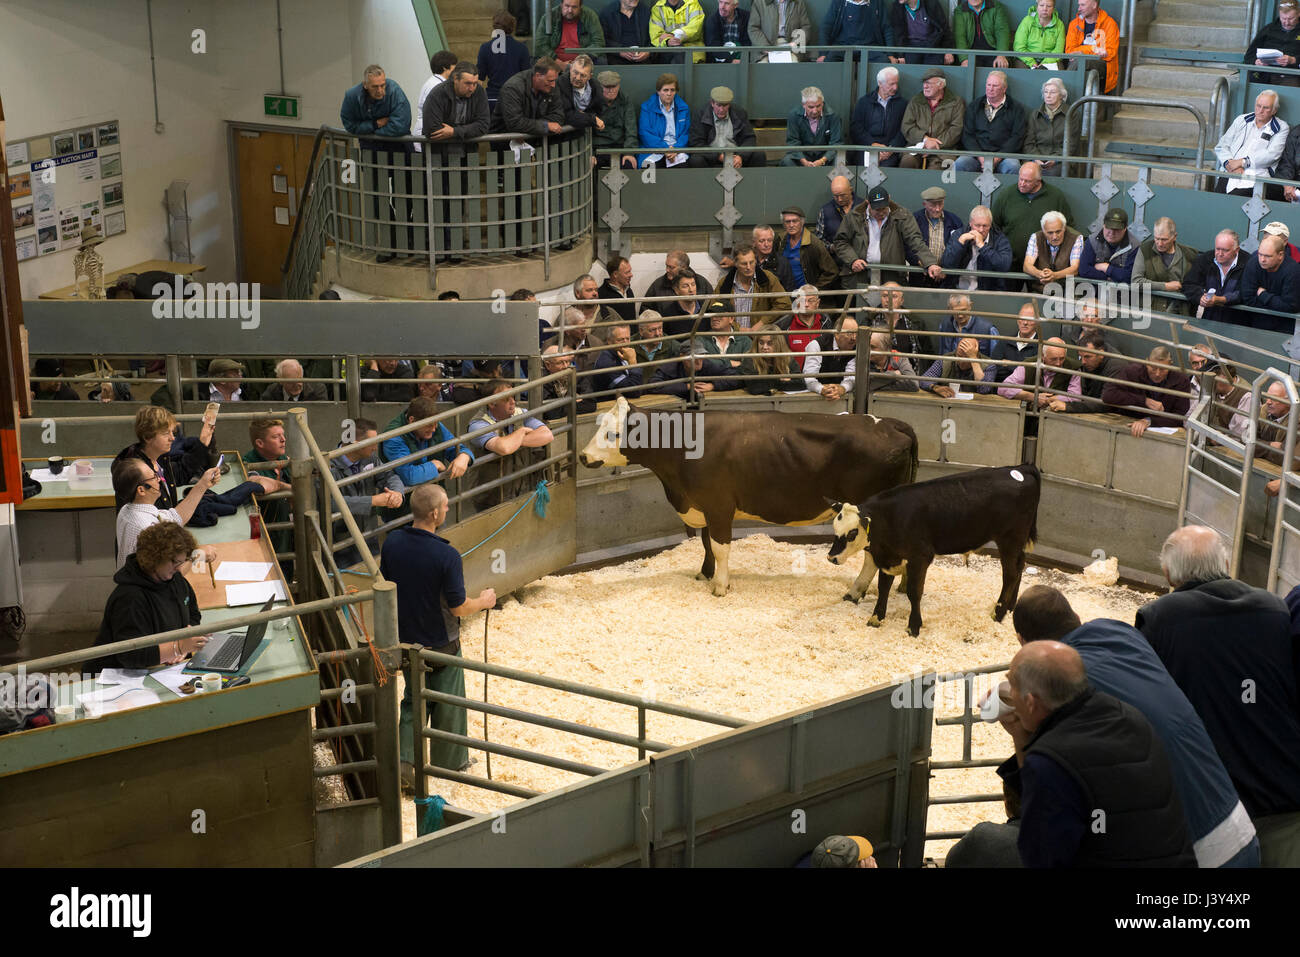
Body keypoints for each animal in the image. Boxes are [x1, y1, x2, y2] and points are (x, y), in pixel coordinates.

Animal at [577, 397, 918, 596]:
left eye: (612, 433)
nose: (582, 456)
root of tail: (890, 423)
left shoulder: (718, 505)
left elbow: (720, 546)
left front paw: (720, 586)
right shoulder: (706, 506)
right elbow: (707, 544)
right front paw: (705, 574)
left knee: (872, 554)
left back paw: (855, 591)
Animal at [826, 464, 1041, 636]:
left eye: (853, 533)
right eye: (835, 529)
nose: (831, 557)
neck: (890, 517)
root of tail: (1021, 468)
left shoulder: (920, 557)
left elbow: (914, 592)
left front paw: (913, 626)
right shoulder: (889, 557)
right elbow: (883, 588)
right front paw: (876, 618)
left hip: (1009, 540)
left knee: (1010, 574)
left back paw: (998, 613)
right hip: (1017, 544)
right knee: (1020, 566)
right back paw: (1011, 607)